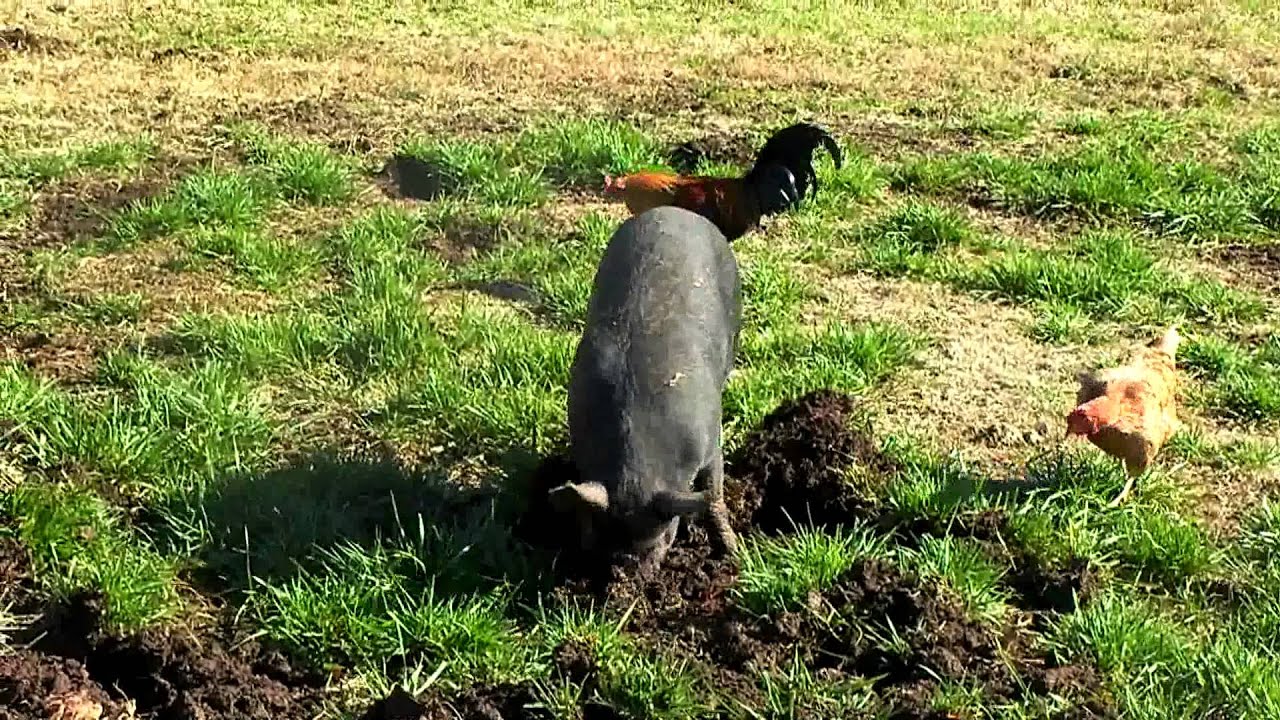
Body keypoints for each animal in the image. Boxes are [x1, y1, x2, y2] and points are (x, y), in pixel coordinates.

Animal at [548, 205, 742, 568]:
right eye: (608, 531)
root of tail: (677, 210)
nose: (629, 564)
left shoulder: (711, 438)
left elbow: (714, 493)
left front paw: (733, 552)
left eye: (665, 535)